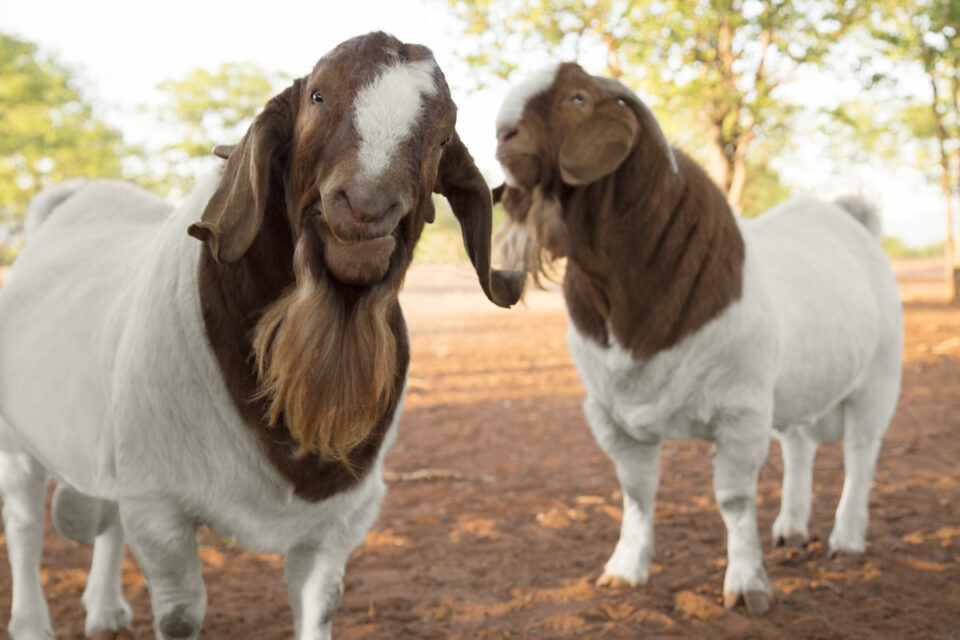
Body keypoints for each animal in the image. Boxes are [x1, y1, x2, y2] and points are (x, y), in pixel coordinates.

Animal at [0, 32, 523, 640]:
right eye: (318, 96)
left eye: (442, 137)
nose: (366, 206)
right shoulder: (159, 505)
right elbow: (179, 615)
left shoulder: (341, 520)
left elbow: (318, 606)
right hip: (20, 442)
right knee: (25, 525)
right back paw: (32, 622)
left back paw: (105, 610)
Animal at [492, 62, 902, 614]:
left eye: (577, 98)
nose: (502, 134)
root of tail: (853, 221)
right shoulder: (611, 416)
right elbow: (636, 492)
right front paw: (624, 570)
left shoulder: (740, 412)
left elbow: (733, 500)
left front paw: (747, 586)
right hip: (797, 384)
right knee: (799, 446)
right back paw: (791, 528)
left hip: (877, 380)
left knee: (861, 452)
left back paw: (847, 539)